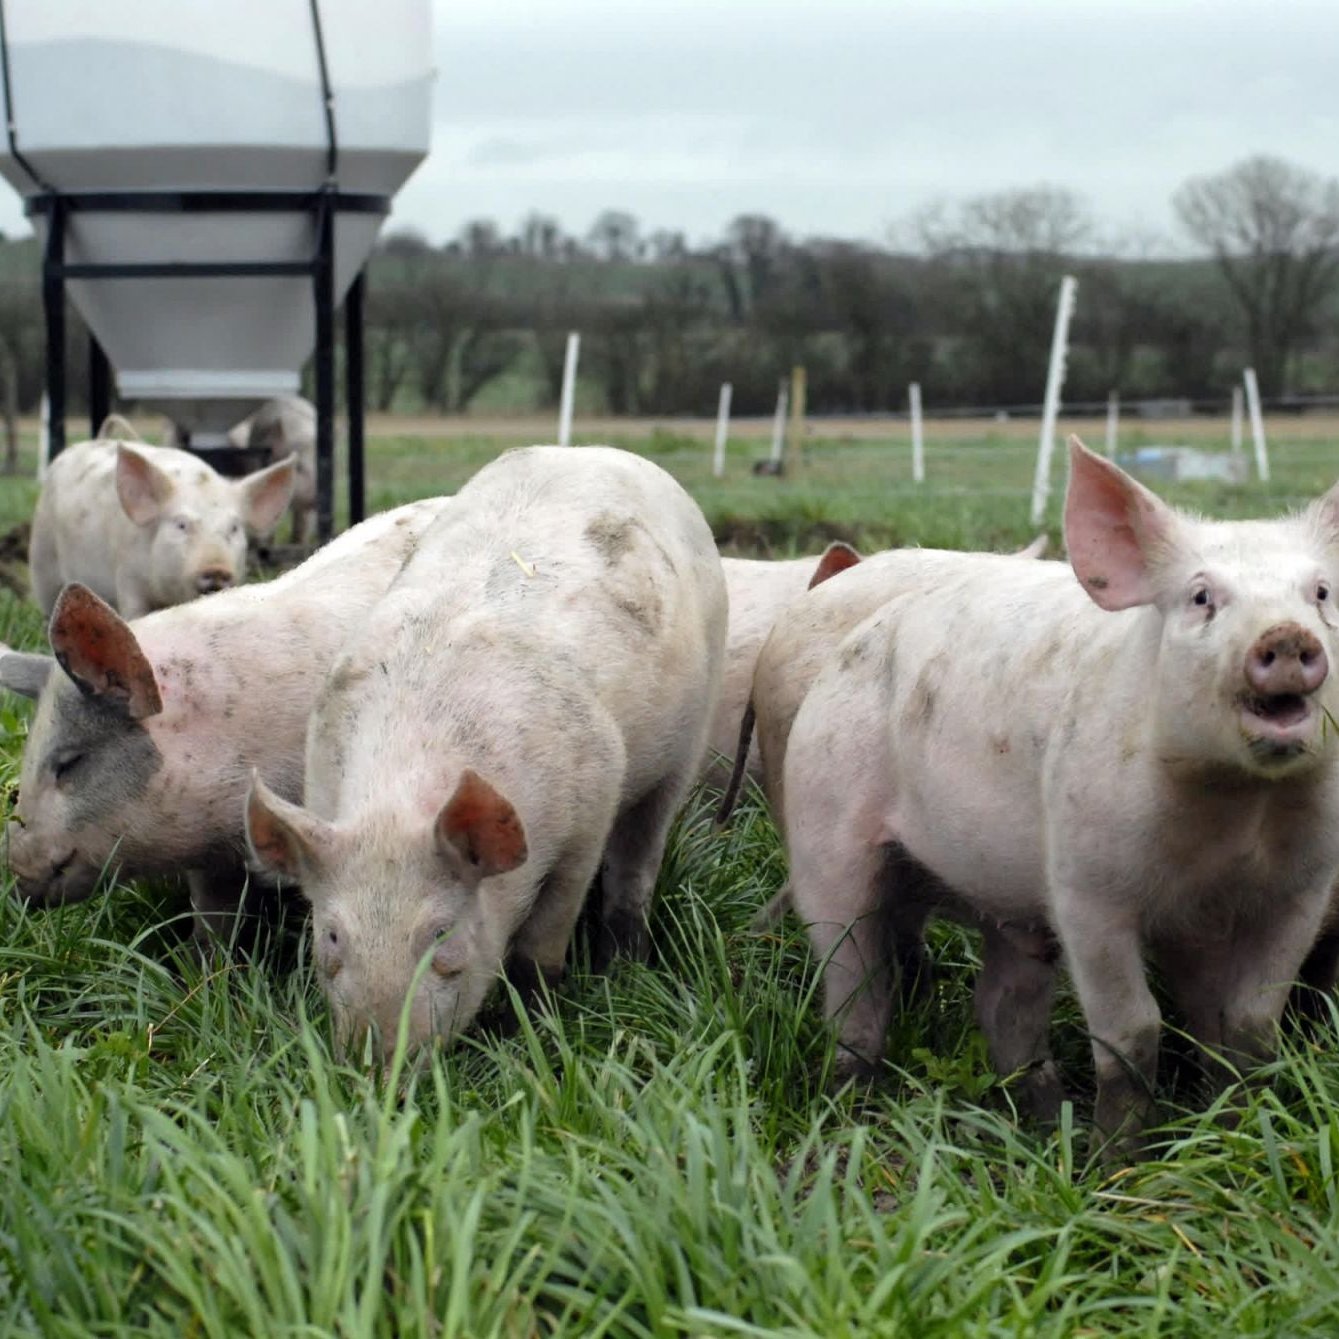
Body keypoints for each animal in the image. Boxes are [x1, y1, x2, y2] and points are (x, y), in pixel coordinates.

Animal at [28, 438, 297, 619]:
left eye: (233, 528)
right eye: (181, 525)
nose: (217, 568)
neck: (168, 597)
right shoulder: (127, 577)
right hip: (43, 560)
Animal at [245, 445, 727, 1057]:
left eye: (440, 933)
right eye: (332, 934)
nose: (378, 1062)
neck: (402, 795)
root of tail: (595, 450)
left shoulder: (586, 817)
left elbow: (544, 941)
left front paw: (529, 1024)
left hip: (689, 735)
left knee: (639, 859)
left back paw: (623, 965)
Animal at [782, 437, 1339, 1150]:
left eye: (1320, 593)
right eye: (1201, 597)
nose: (1287, 636)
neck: (1235, 810)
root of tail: (848, 648)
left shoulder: (1303, 887)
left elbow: (1249, 1025)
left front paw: (1231, 1130)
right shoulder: (1087, 885)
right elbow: (1132, 1031)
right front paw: (1119, 1159)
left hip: (1007, 901)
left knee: (1002, 1005)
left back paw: (1046, 1124)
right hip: (823, 830)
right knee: (856, 983)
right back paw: (849, 1112)